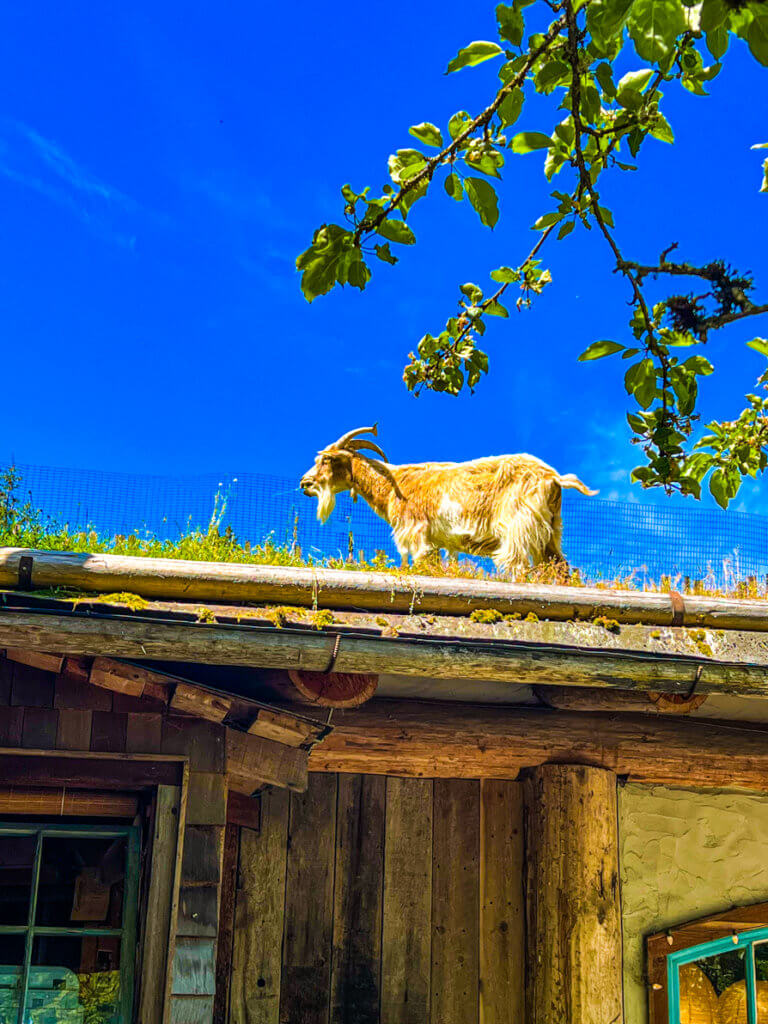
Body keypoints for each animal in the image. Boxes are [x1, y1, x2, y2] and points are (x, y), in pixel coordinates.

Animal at [299, 426, 597, 574]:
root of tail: (553, 477)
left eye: (326, 460)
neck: (395, 484)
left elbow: (422, 561)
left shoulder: (415, 530)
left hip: (518, 525)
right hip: (550, 531)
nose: (305, 483)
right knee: (558, 566)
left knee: (518, 564)